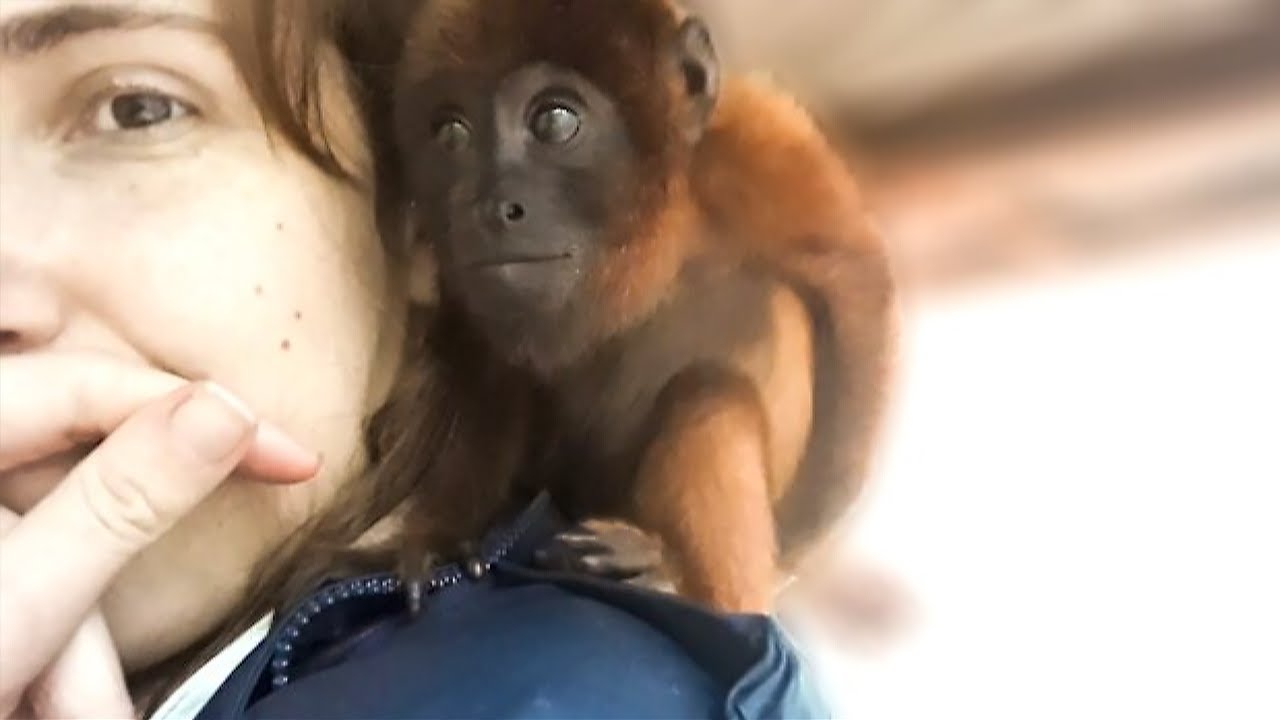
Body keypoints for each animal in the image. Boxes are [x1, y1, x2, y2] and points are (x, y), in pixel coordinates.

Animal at [379, 0, 895, 614]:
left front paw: (785, 553)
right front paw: (445, 531)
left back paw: (669, 566)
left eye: (555, 122)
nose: (488, 210)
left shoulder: (757, 149)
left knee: (711, 397)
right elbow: (484, 359)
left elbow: (854, 285)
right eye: (451, 132)